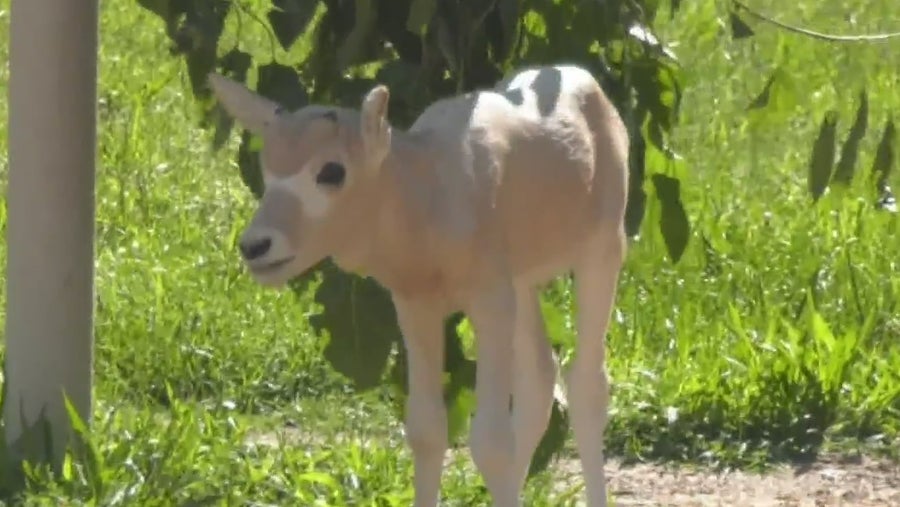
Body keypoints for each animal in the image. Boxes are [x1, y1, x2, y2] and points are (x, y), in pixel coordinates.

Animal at [207, 63, 628, 507]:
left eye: (331, 171)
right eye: (267, 169)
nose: (255, 246)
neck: (430, 189)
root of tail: (578, 79)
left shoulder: (490, 303)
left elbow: (492, 443)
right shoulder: (416, 306)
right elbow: (427, 431)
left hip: (600, 252)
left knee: (586, 385)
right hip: (523, 283)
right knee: (538, 382)